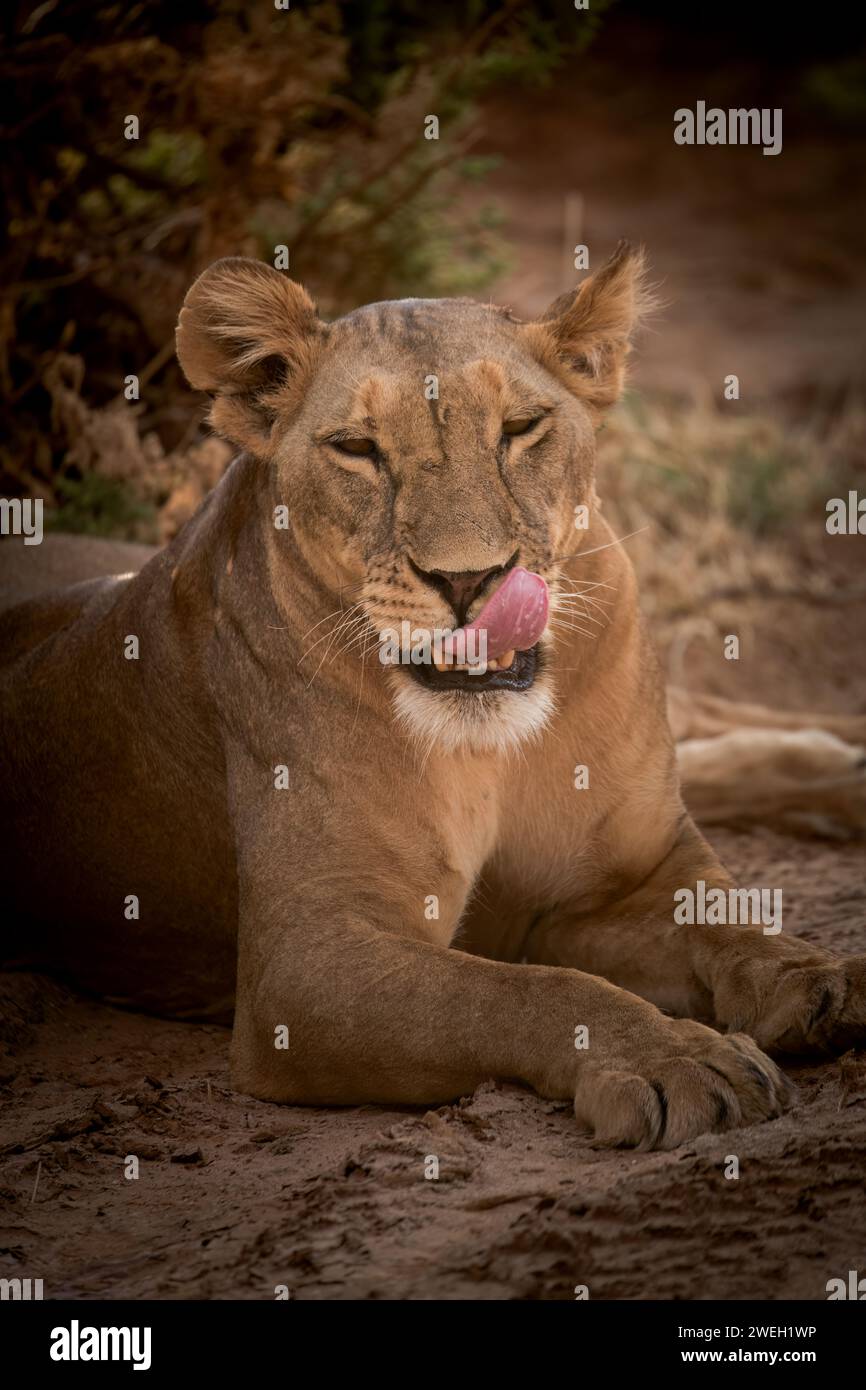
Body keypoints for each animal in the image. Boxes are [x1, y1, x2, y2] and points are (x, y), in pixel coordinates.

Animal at [1, 244, 865, 1152]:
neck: (492, 748)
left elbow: (726, 922)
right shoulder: (304, 968)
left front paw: (822, 979)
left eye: (521, 428)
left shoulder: (633, 876)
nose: (468, 579)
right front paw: (677, 1059)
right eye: (356, 449)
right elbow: (532, 991)